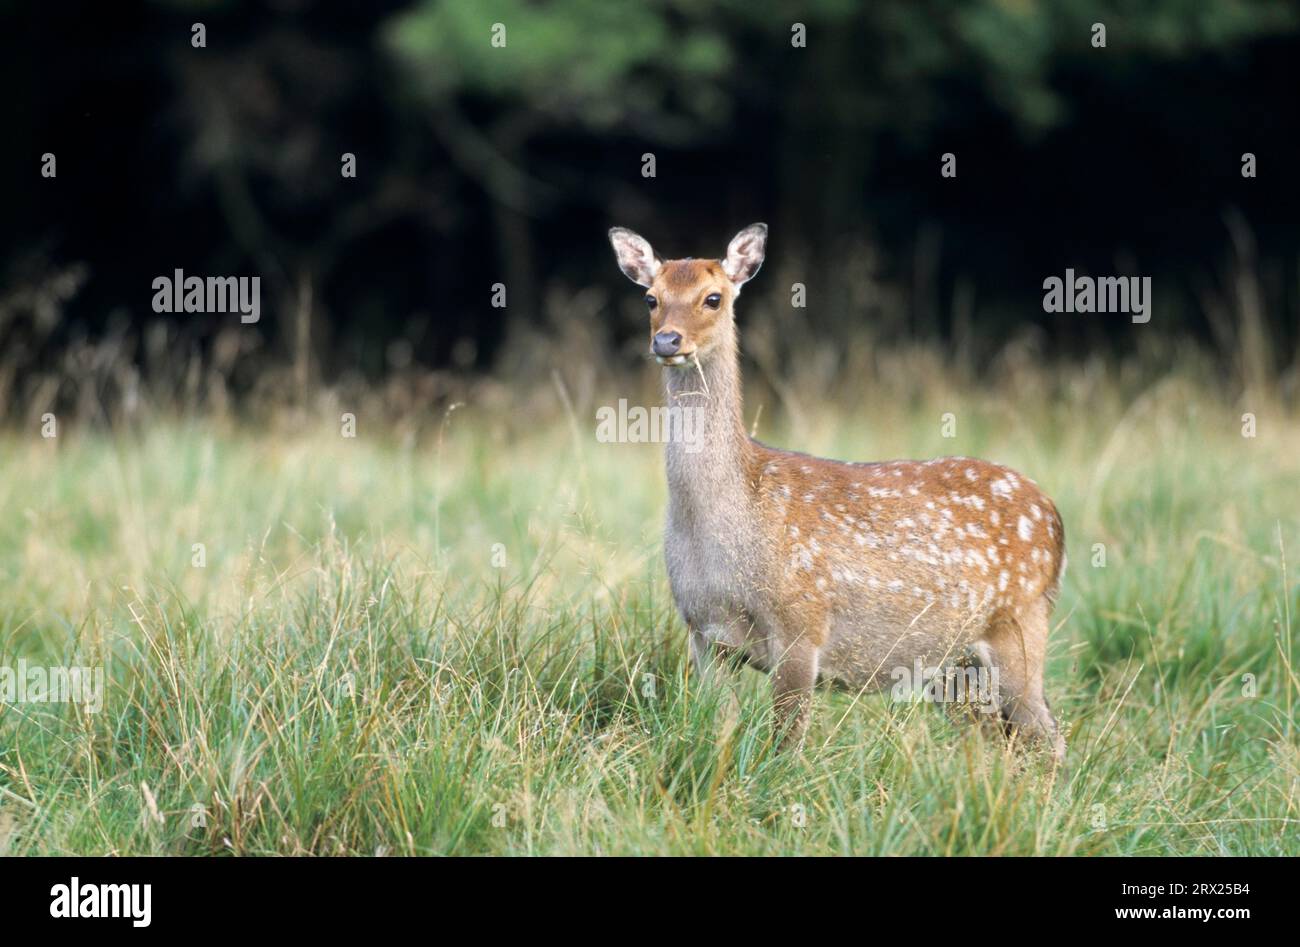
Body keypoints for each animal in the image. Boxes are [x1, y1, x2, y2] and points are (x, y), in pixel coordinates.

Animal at [608, 223, 1067, 759]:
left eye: (713, 298)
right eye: (651, 298)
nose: (666, 340)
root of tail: (1054, 518)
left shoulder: (802, 625)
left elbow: (785, 744)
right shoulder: (704, 634)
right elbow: (721, 730)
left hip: (1020, 623)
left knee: (1050, 737)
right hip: (954, 666)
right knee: (1000, 740)